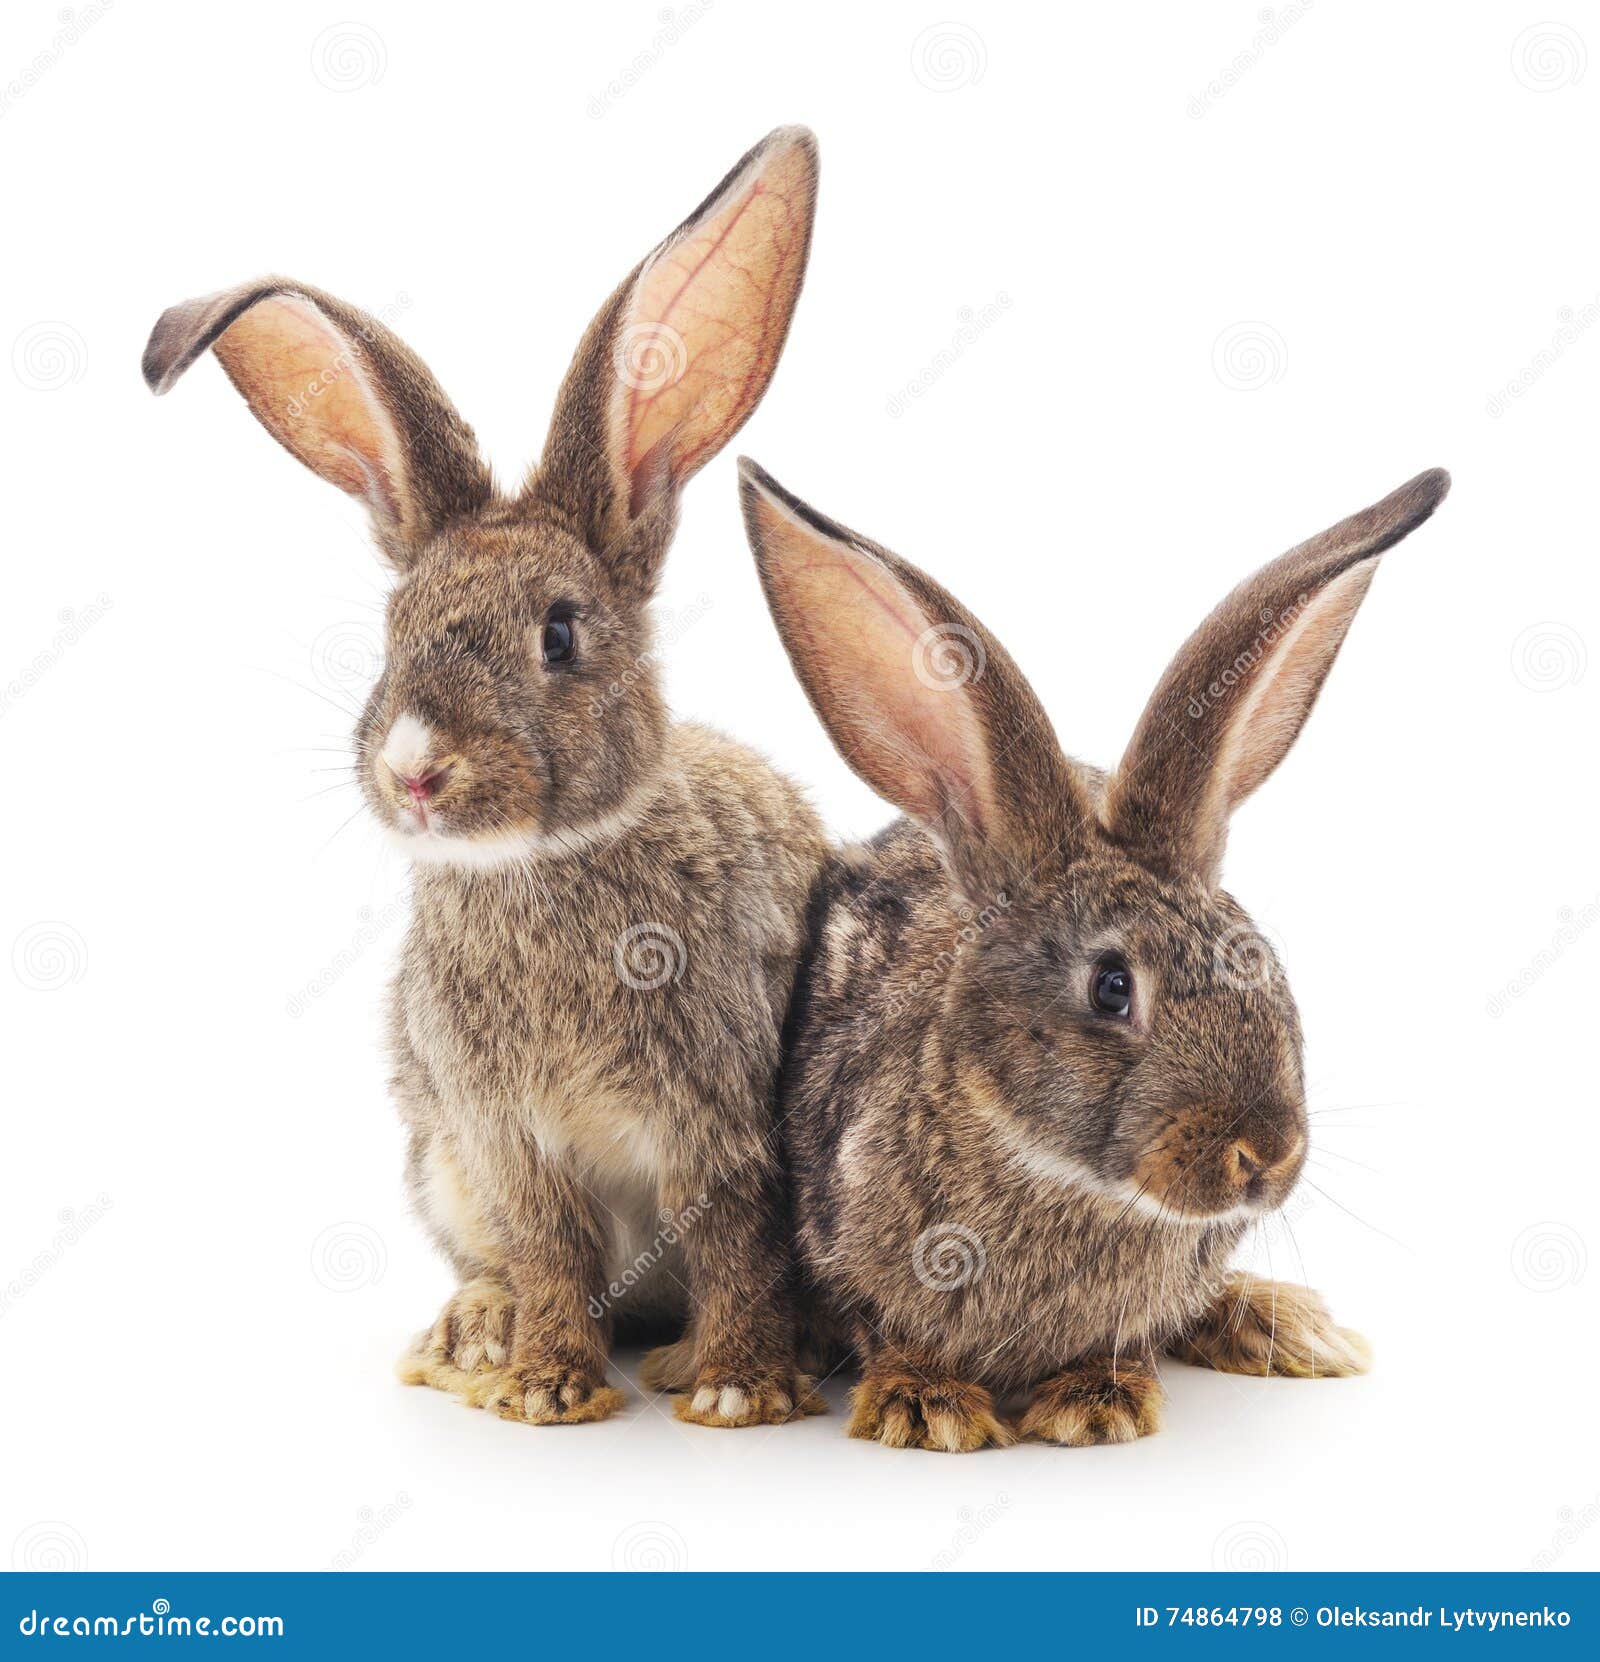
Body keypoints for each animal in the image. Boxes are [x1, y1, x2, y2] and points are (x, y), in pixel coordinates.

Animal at [141, 129, 830, 1428]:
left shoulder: (723, 1135)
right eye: (393, 633)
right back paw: (472, 1336)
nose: (415, 770)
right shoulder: (505, 1144)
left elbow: (732, 1248)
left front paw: (733, 1391)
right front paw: (548, 1388)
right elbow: (552, 1251)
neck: (544, 866)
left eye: (560, 634)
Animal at [737, 457, 1450, 1450]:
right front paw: (926, 1407)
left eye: (1268, 966)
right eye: (1113, 988)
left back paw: (1284, 1326)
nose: (1266, 1152)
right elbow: (891, 1332)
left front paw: (1096, 1403)